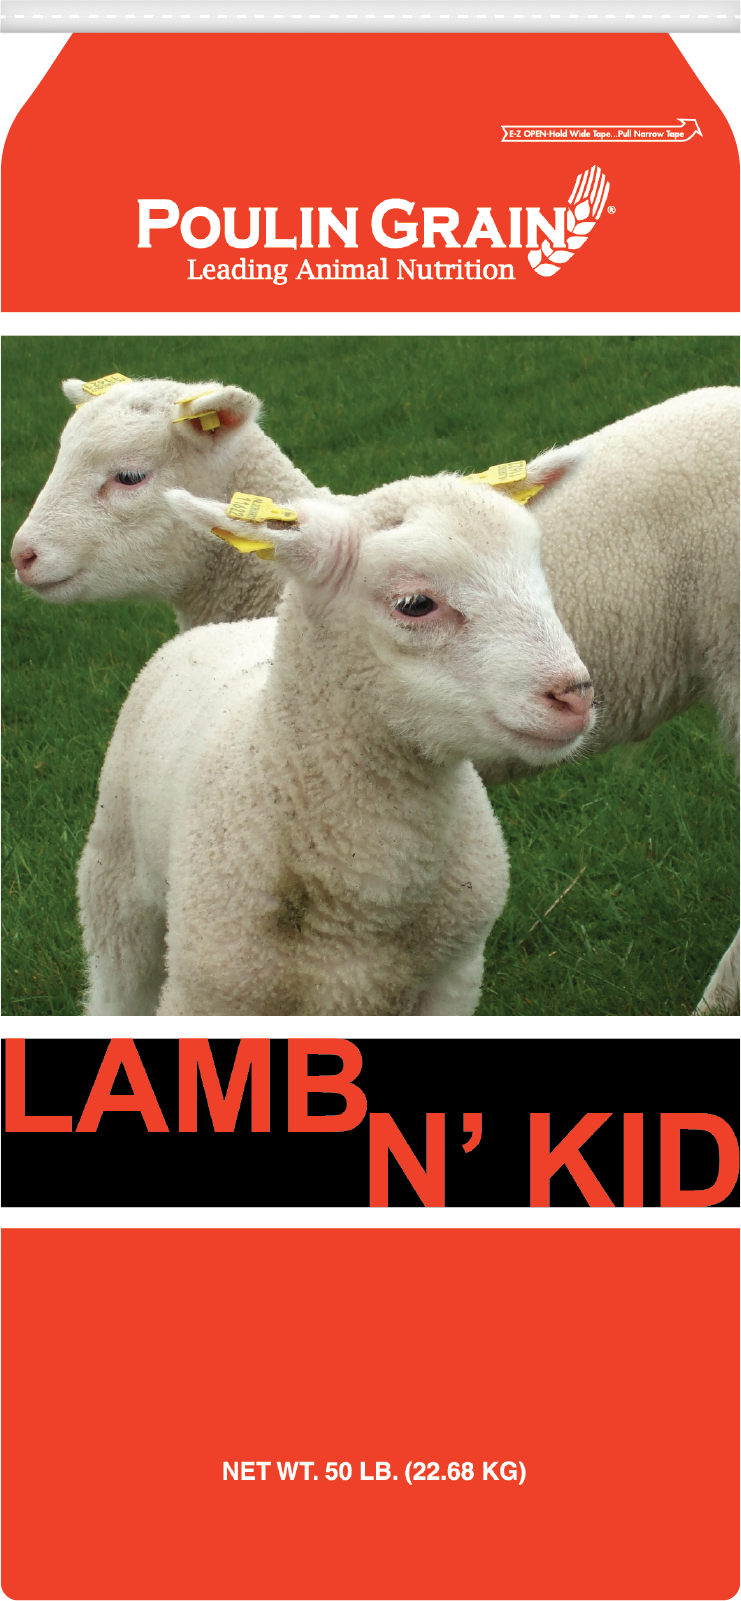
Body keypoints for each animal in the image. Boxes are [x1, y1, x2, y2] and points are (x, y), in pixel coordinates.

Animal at [77, 475, 594, 1017]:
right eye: (415, 604)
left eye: (538, 572)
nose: (574, 695)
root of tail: (224, 627)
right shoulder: (209, 993)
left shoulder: (455, 977)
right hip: (117, 890)